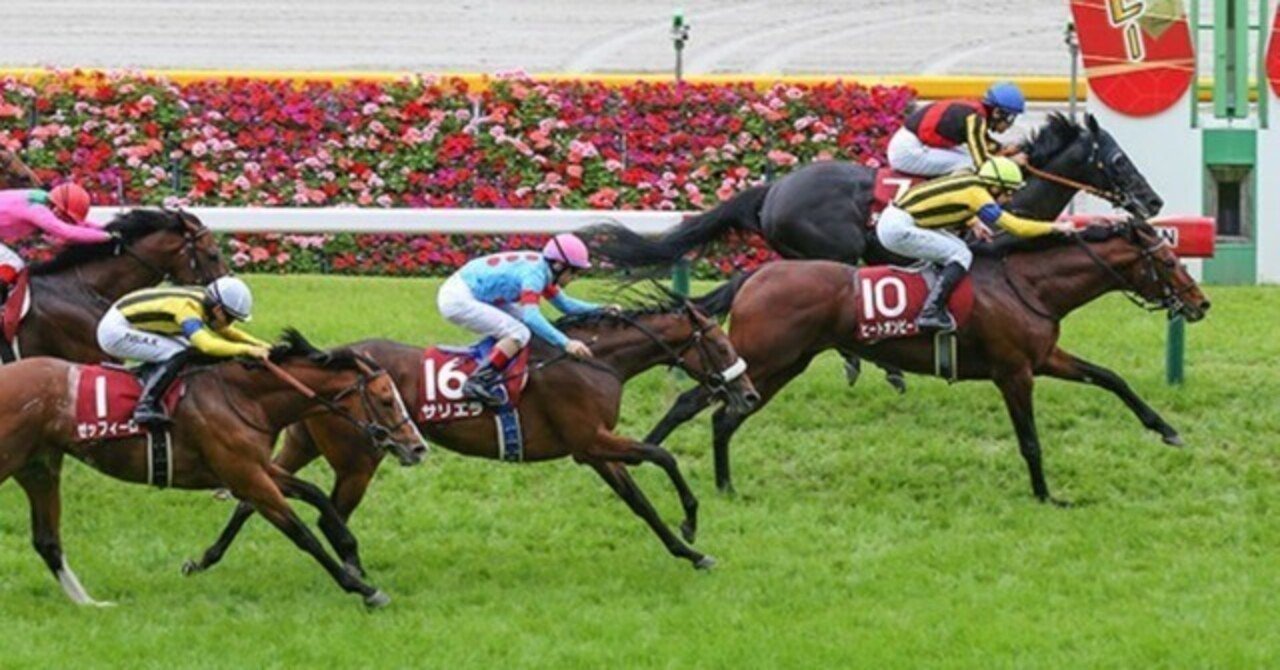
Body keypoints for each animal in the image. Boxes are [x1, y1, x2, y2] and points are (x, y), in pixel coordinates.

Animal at [0, 330, 428, 608]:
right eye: (386, 400)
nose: (417, 447)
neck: (243, 398)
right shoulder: (247, 477)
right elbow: (302, 534)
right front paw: (363, 589)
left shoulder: (255, 469)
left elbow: (317, 494)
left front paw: (350, 552)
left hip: (39, 466)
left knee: (47, 541)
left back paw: (89, 602)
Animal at [183, 295, 760, 577]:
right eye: (721, 345)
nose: (749, 393)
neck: (596, 361)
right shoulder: (589, 441)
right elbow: (663, 455)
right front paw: (691, 524)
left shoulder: (594, 449)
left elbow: (640, 502)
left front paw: (690, 553)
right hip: (359, 457)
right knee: (327, 514)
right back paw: (353, 574)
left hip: (303, 441)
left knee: (254, 497)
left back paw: (205, 559)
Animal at [643, 219, 1209, 505]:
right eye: (1167, 260)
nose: (1200, 302)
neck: (1027, 285)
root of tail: (754, 276)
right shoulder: (1014, 372)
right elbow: (1030, 440)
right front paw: (1047, 496)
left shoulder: (1045, 357)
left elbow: (1111, 378)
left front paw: (1166, 429)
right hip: (761, 358)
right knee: (699, 401)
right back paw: (656, 453)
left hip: (783, 365)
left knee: (722, 414)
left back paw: (724, 485)